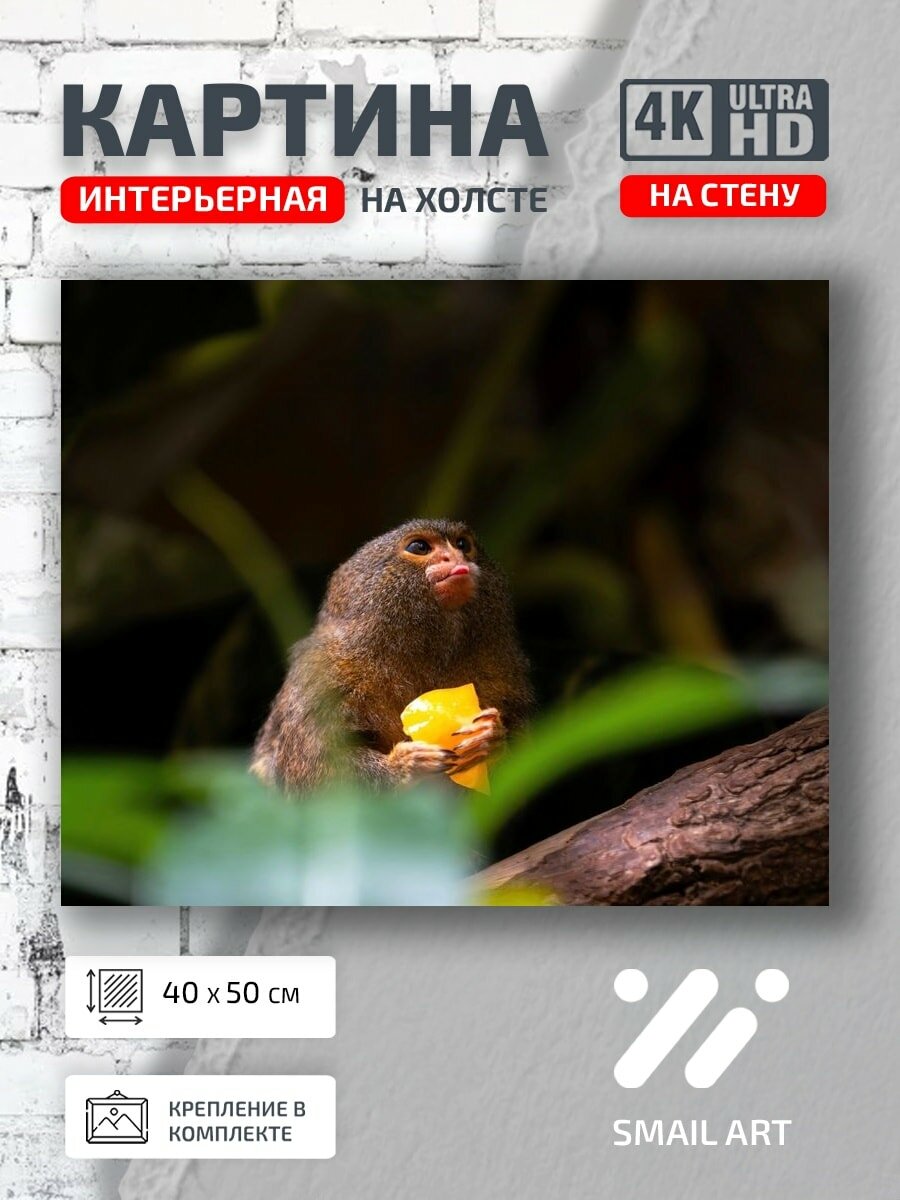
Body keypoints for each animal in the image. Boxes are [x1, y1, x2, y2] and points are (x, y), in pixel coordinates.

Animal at [251, 519, 533, 792]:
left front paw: (492, 738)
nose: (456, 558)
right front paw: (404, 766)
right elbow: (313, 770)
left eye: (462, 545)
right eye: (420, 547)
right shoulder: (320, 675)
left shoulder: (503, 666)